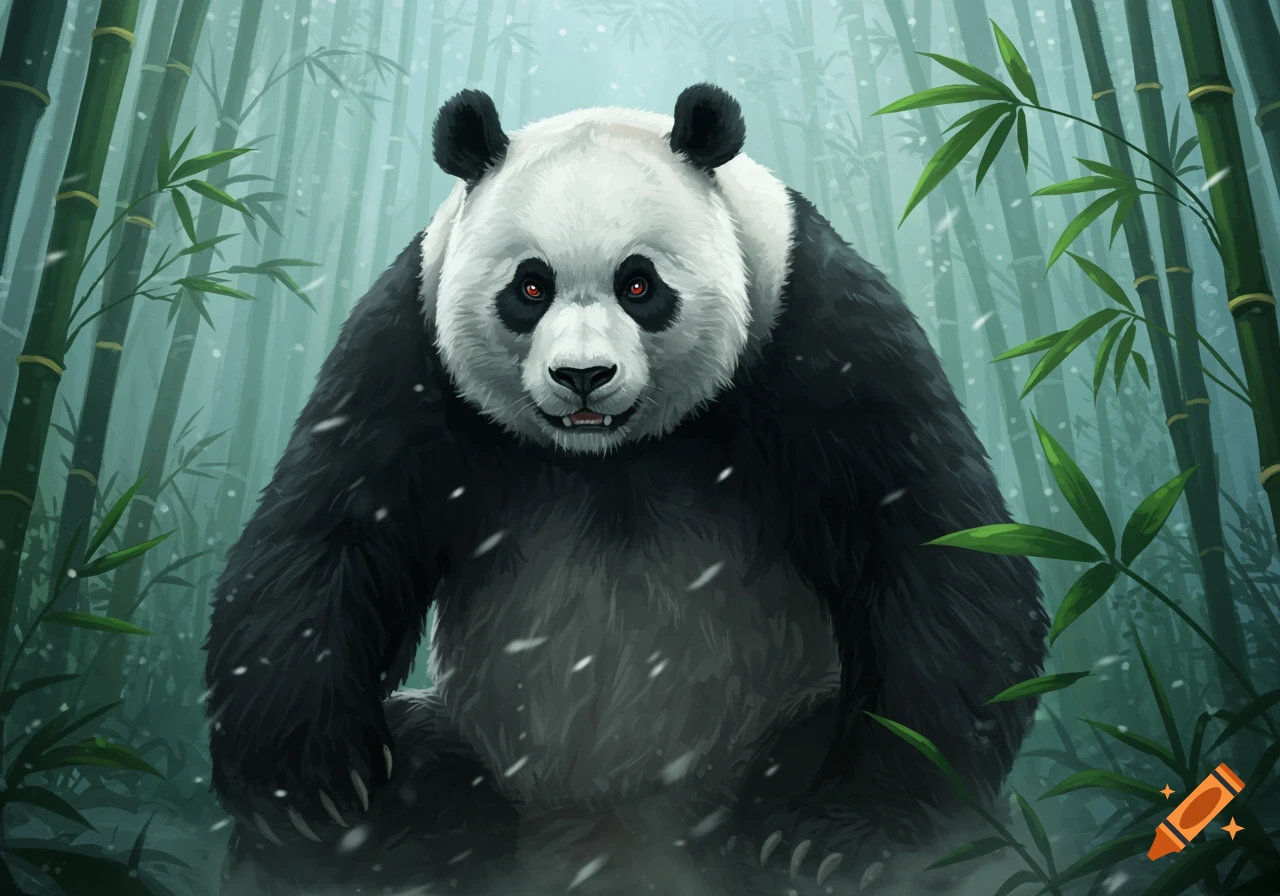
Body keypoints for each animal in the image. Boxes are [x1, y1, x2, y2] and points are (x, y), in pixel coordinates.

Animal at [205, 84, 1047, 896]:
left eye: (639, 283)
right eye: (530, 286)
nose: (583, 376)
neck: (608, 456)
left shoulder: (815, 331)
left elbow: (925, 543)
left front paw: (853, 832)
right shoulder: (411, 346)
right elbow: (332, 536)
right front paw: (313, 788)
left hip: (771, 727)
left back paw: (801, 843)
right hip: (484, 752)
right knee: (422, 778)